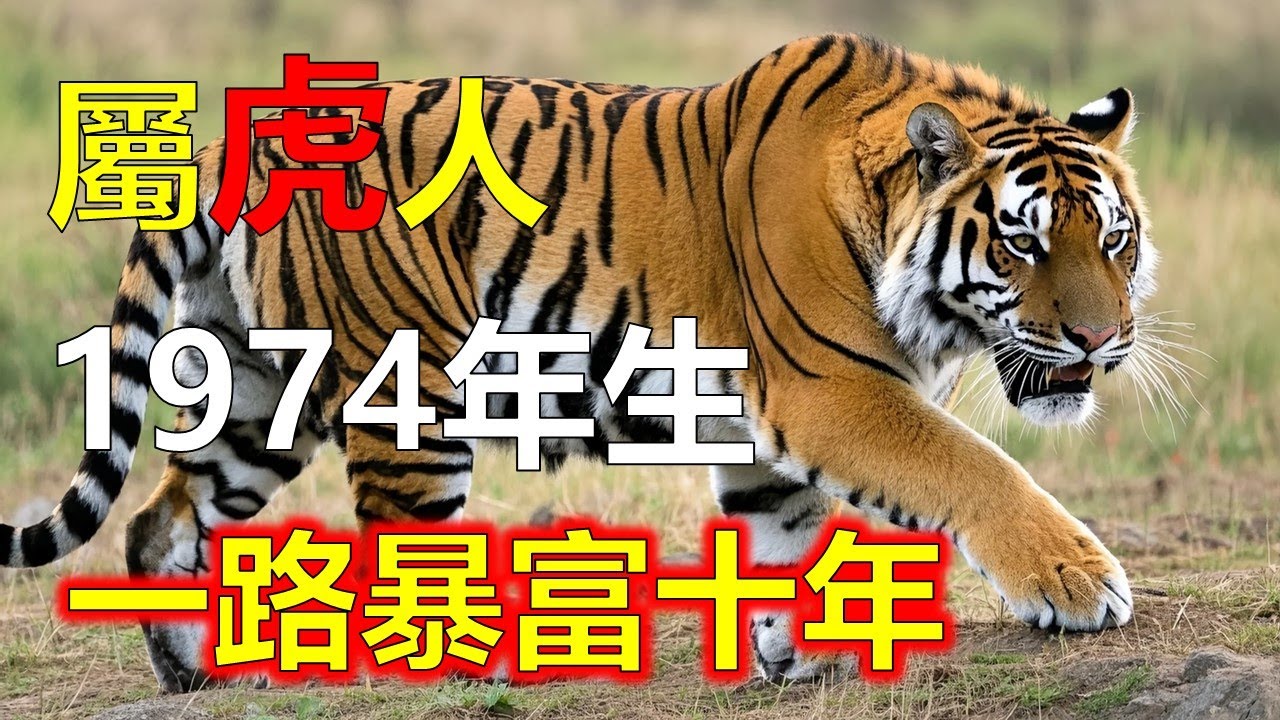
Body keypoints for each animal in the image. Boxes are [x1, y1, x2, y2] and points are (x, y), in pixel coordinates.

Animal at [0, 33, 1152, 690]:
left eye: (1112, 239)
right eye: (1022, 243)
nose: (1101, 340)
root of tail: (230, 145)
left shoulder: (760, 424)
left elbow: (783, 532)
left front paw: (797, 654)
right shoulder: (831, 389)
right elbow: (975, 468)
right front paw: (1075, 582)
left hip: (259, 389)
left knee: (161, 516)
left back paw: (186, 668)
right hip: (408, 398)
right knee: (393, 555)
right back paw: (458, 674)